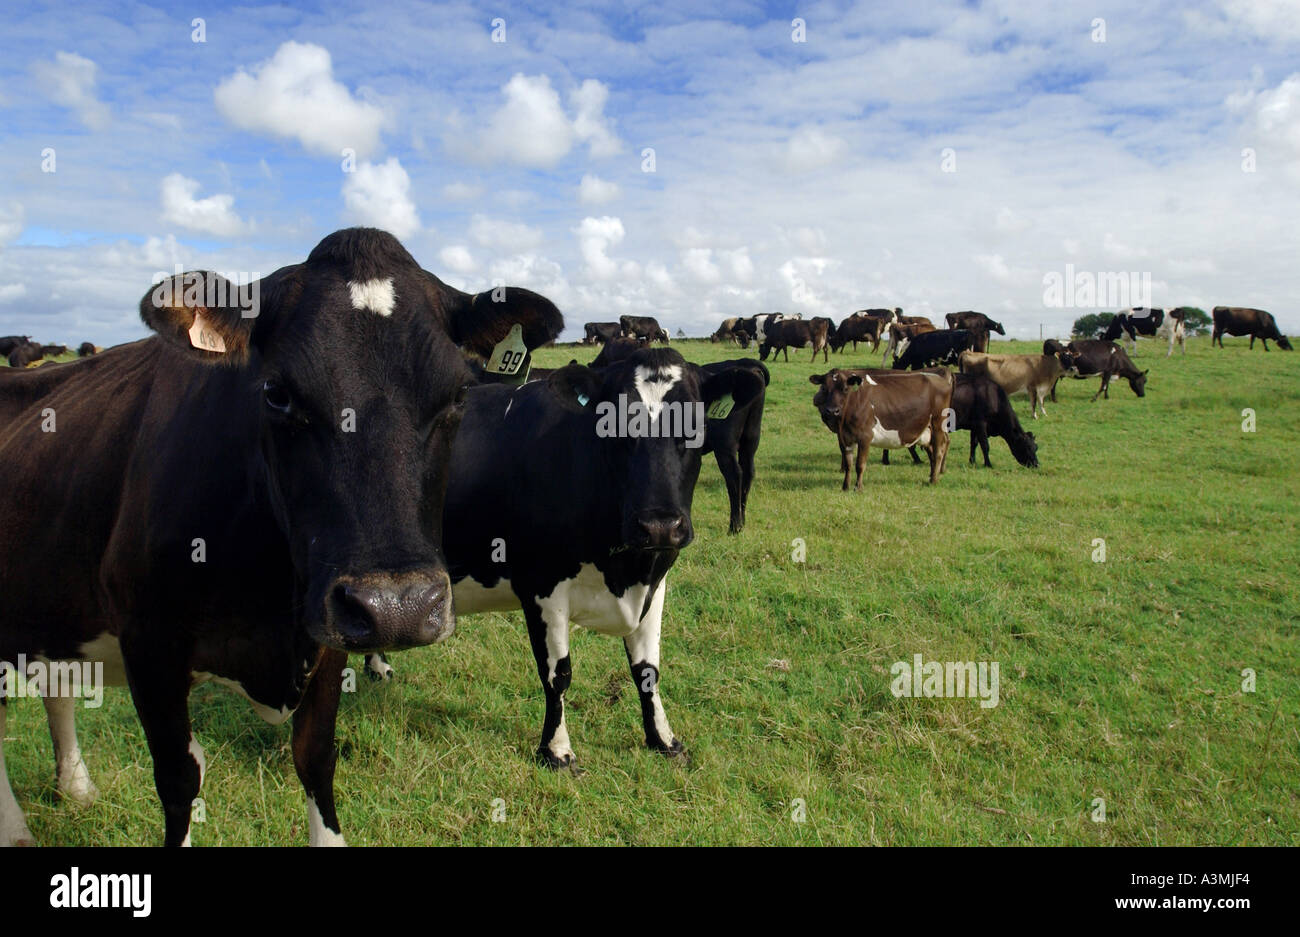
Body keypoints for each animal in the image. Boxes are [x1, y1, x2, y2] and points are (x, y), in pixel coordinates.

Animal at [0, 227, 563, 847]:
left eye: (461, 393)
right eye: (276, 392)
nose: (399, 607)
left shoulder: (329, 632)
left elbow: (316, 758)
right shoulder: (149, 643)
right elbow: (178, 780)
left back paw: (74, 786)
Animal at [809, 368, 952, 487]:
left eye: (845, 388)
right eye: (824, 388)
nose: (832, 411)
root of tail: (940, 378)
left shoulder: (865, 437)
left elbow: (860, 464)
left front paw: (858, 487)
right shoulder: (844, 438)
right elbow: (848, 463)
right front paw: (845, 487)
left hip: (938, 425)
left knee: (938, 452)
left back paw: (934, 480)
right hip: (926, 430)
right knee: (932, 451)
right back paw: (932, 475)